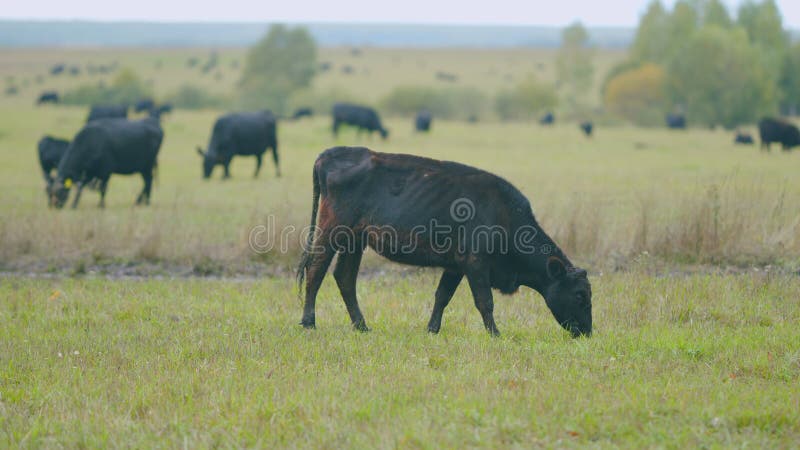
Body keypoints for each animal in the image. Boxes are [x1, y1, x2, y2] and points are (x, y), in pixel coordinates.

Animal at [296, 146, 592, 337]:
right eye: (580, 294)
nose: (588, 332)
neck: (505, 214)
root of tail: (328, 155)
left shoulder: (455, 265)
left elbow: (442, 296)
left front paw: (432, 329)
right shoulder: (476, 263)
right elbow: (484, 301)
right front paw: (495, 333)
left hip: (355, 240)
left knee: (344, 277)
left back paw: (362, 326)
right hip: (332, 230)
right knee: (316, 269)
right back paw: (309, 322)